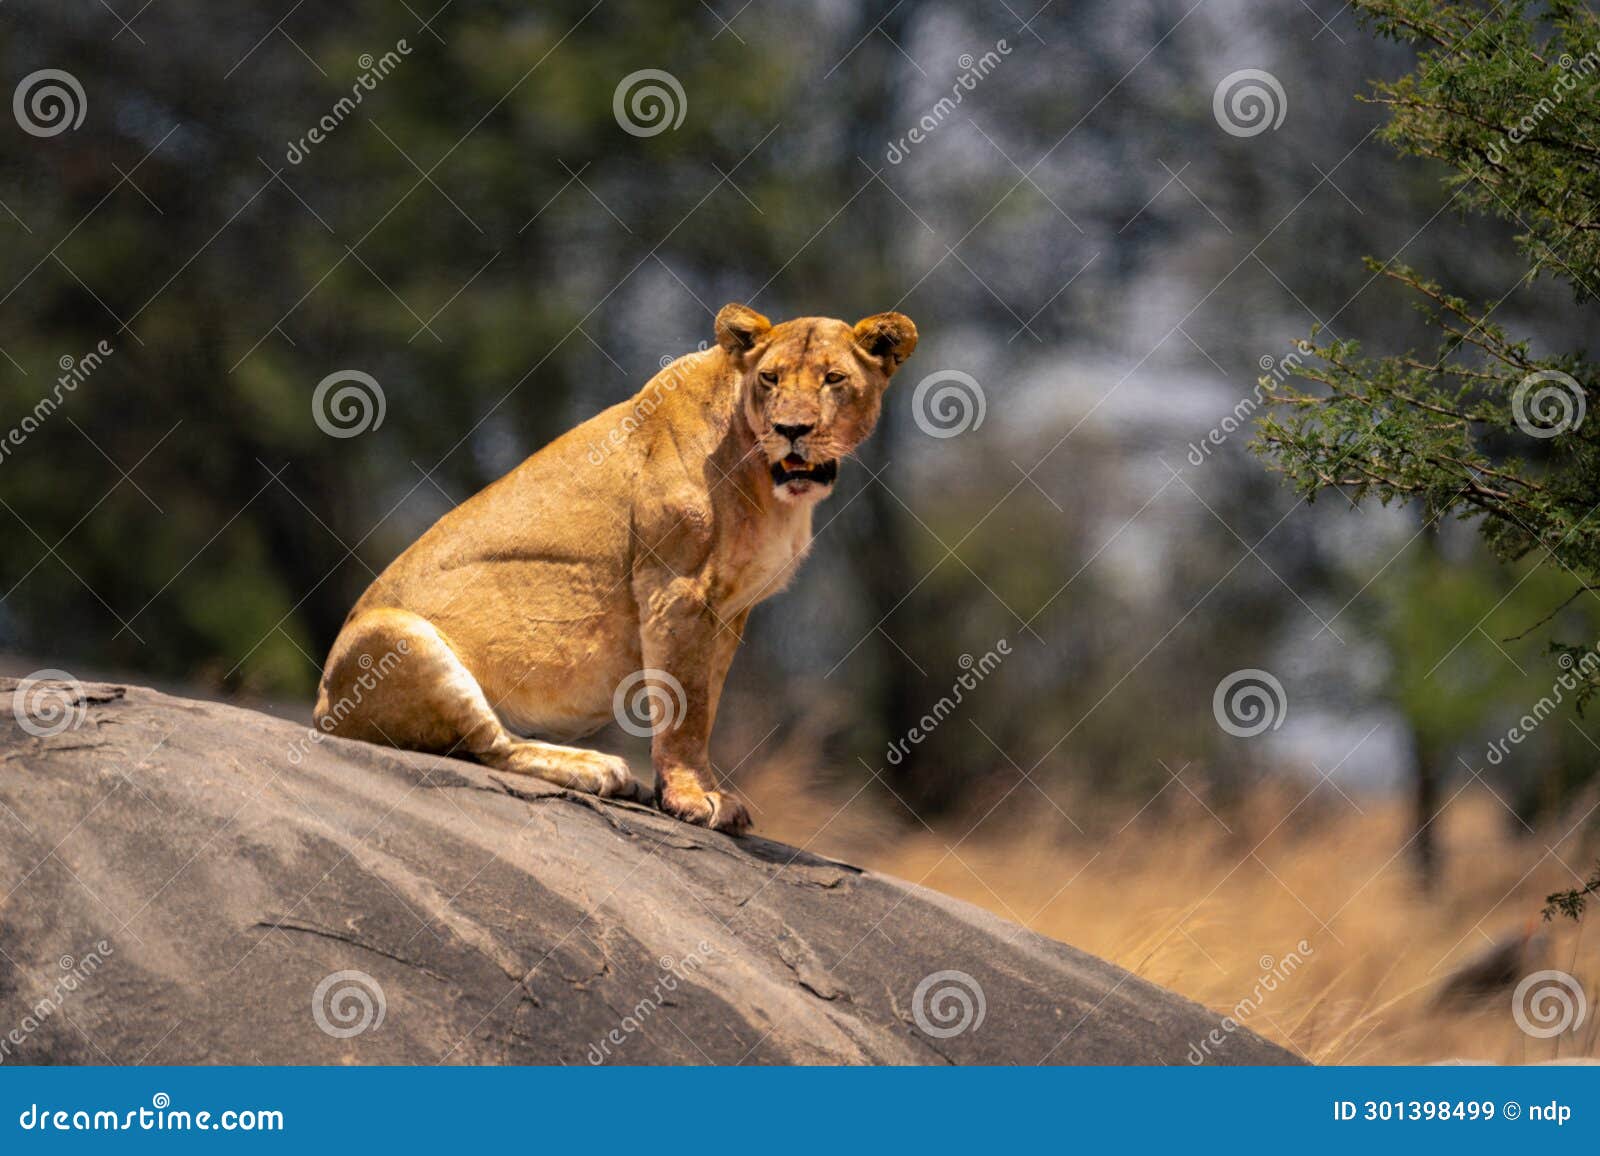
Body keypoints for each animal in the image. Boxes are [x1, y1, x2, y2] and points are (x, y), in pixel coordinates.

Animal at [313, 303, 917, 834]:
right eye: (769, 378)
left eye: (833, 379)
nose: (792, 429)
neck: (768, 482)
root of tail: (321, 708)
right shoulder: (676, 588)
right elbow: (684, 704)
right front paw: (691, 798)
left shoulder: (730, 610)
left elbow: (706, 705)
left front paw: (701, 790)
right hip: (397, 634)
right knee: (492, 745)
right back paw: (592, 766)